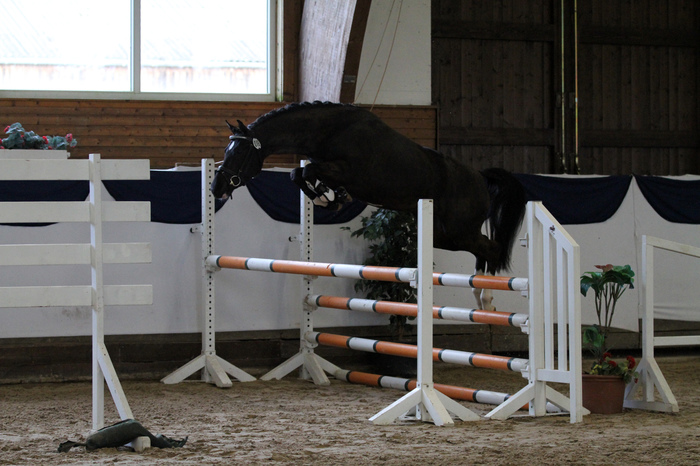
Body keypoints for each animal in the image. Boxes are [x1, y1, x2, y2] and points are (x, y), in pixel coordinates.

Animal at [211, 101, 526, 311]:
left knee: (491, 248)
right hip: (444, 236)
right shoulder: (330, 169)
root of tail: (479, 176)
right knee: (482, 249)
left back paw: (487, 299)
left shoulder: (347, 171)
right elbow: (297, 173)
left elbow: (305, 171)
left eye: (238, 152)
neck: (330, 130)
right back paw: (479, 296)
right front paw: (329, 198)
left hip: (458, 231)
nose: (217, 188)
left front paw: (328, 197)